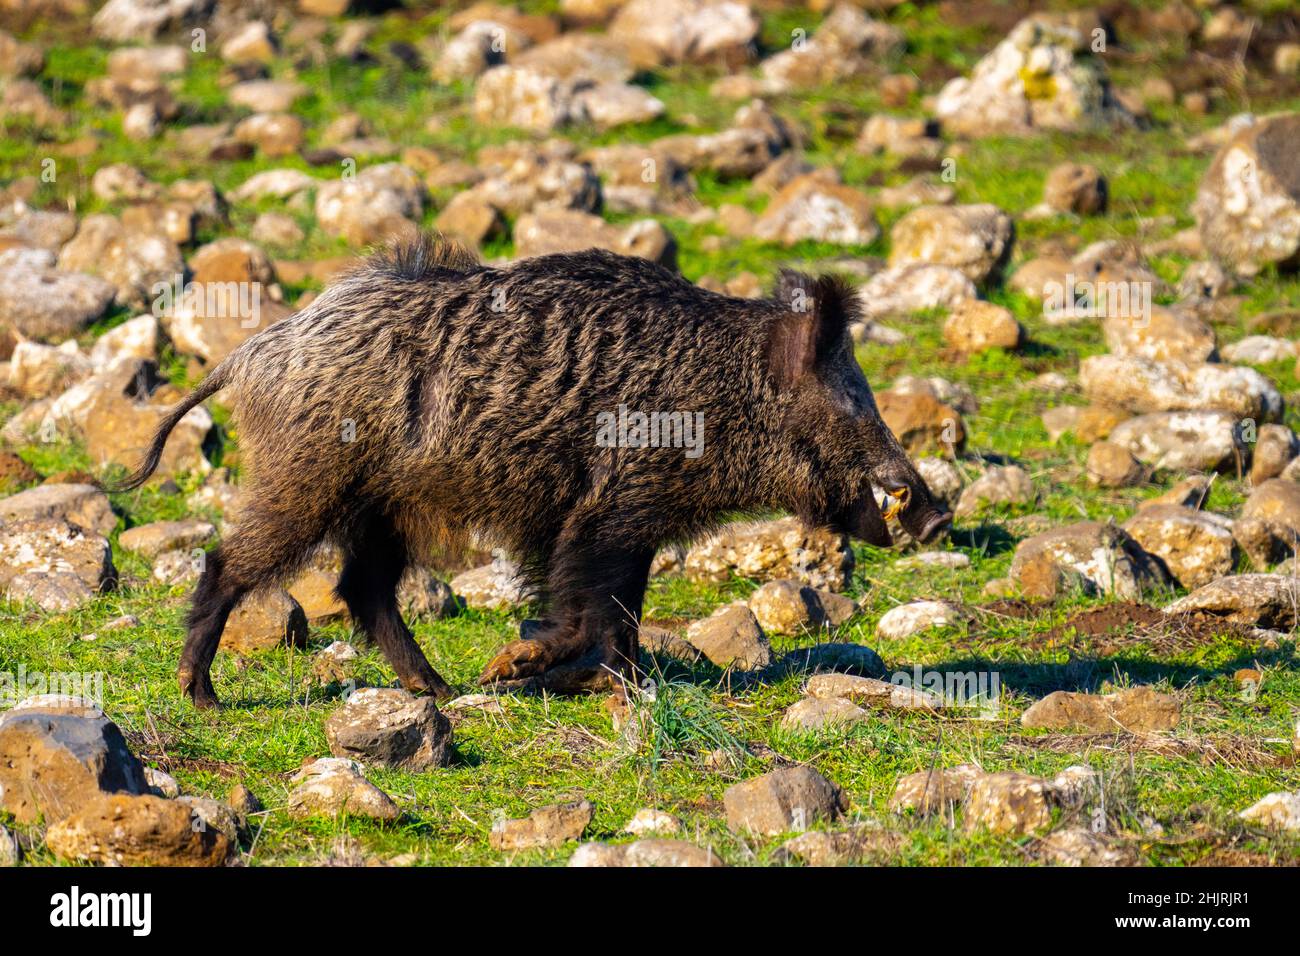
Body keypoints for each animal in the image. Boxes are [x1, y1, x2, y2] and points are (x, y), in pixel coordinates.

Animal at [120, 235, 951, 707]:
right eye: (850, 398)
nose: (935, 509)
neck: (719, 391)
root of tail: (254, 353)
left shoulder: (623, 523)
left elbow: (619, 616)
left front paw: (608, 683)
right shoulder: (607, 513)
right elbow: (591, 610)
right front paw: (517, 668)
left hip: (382, 506)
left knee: (363, 587)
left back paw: (438, 689)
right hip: (309, 480)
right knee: (230, 561)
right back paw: (202, 696)